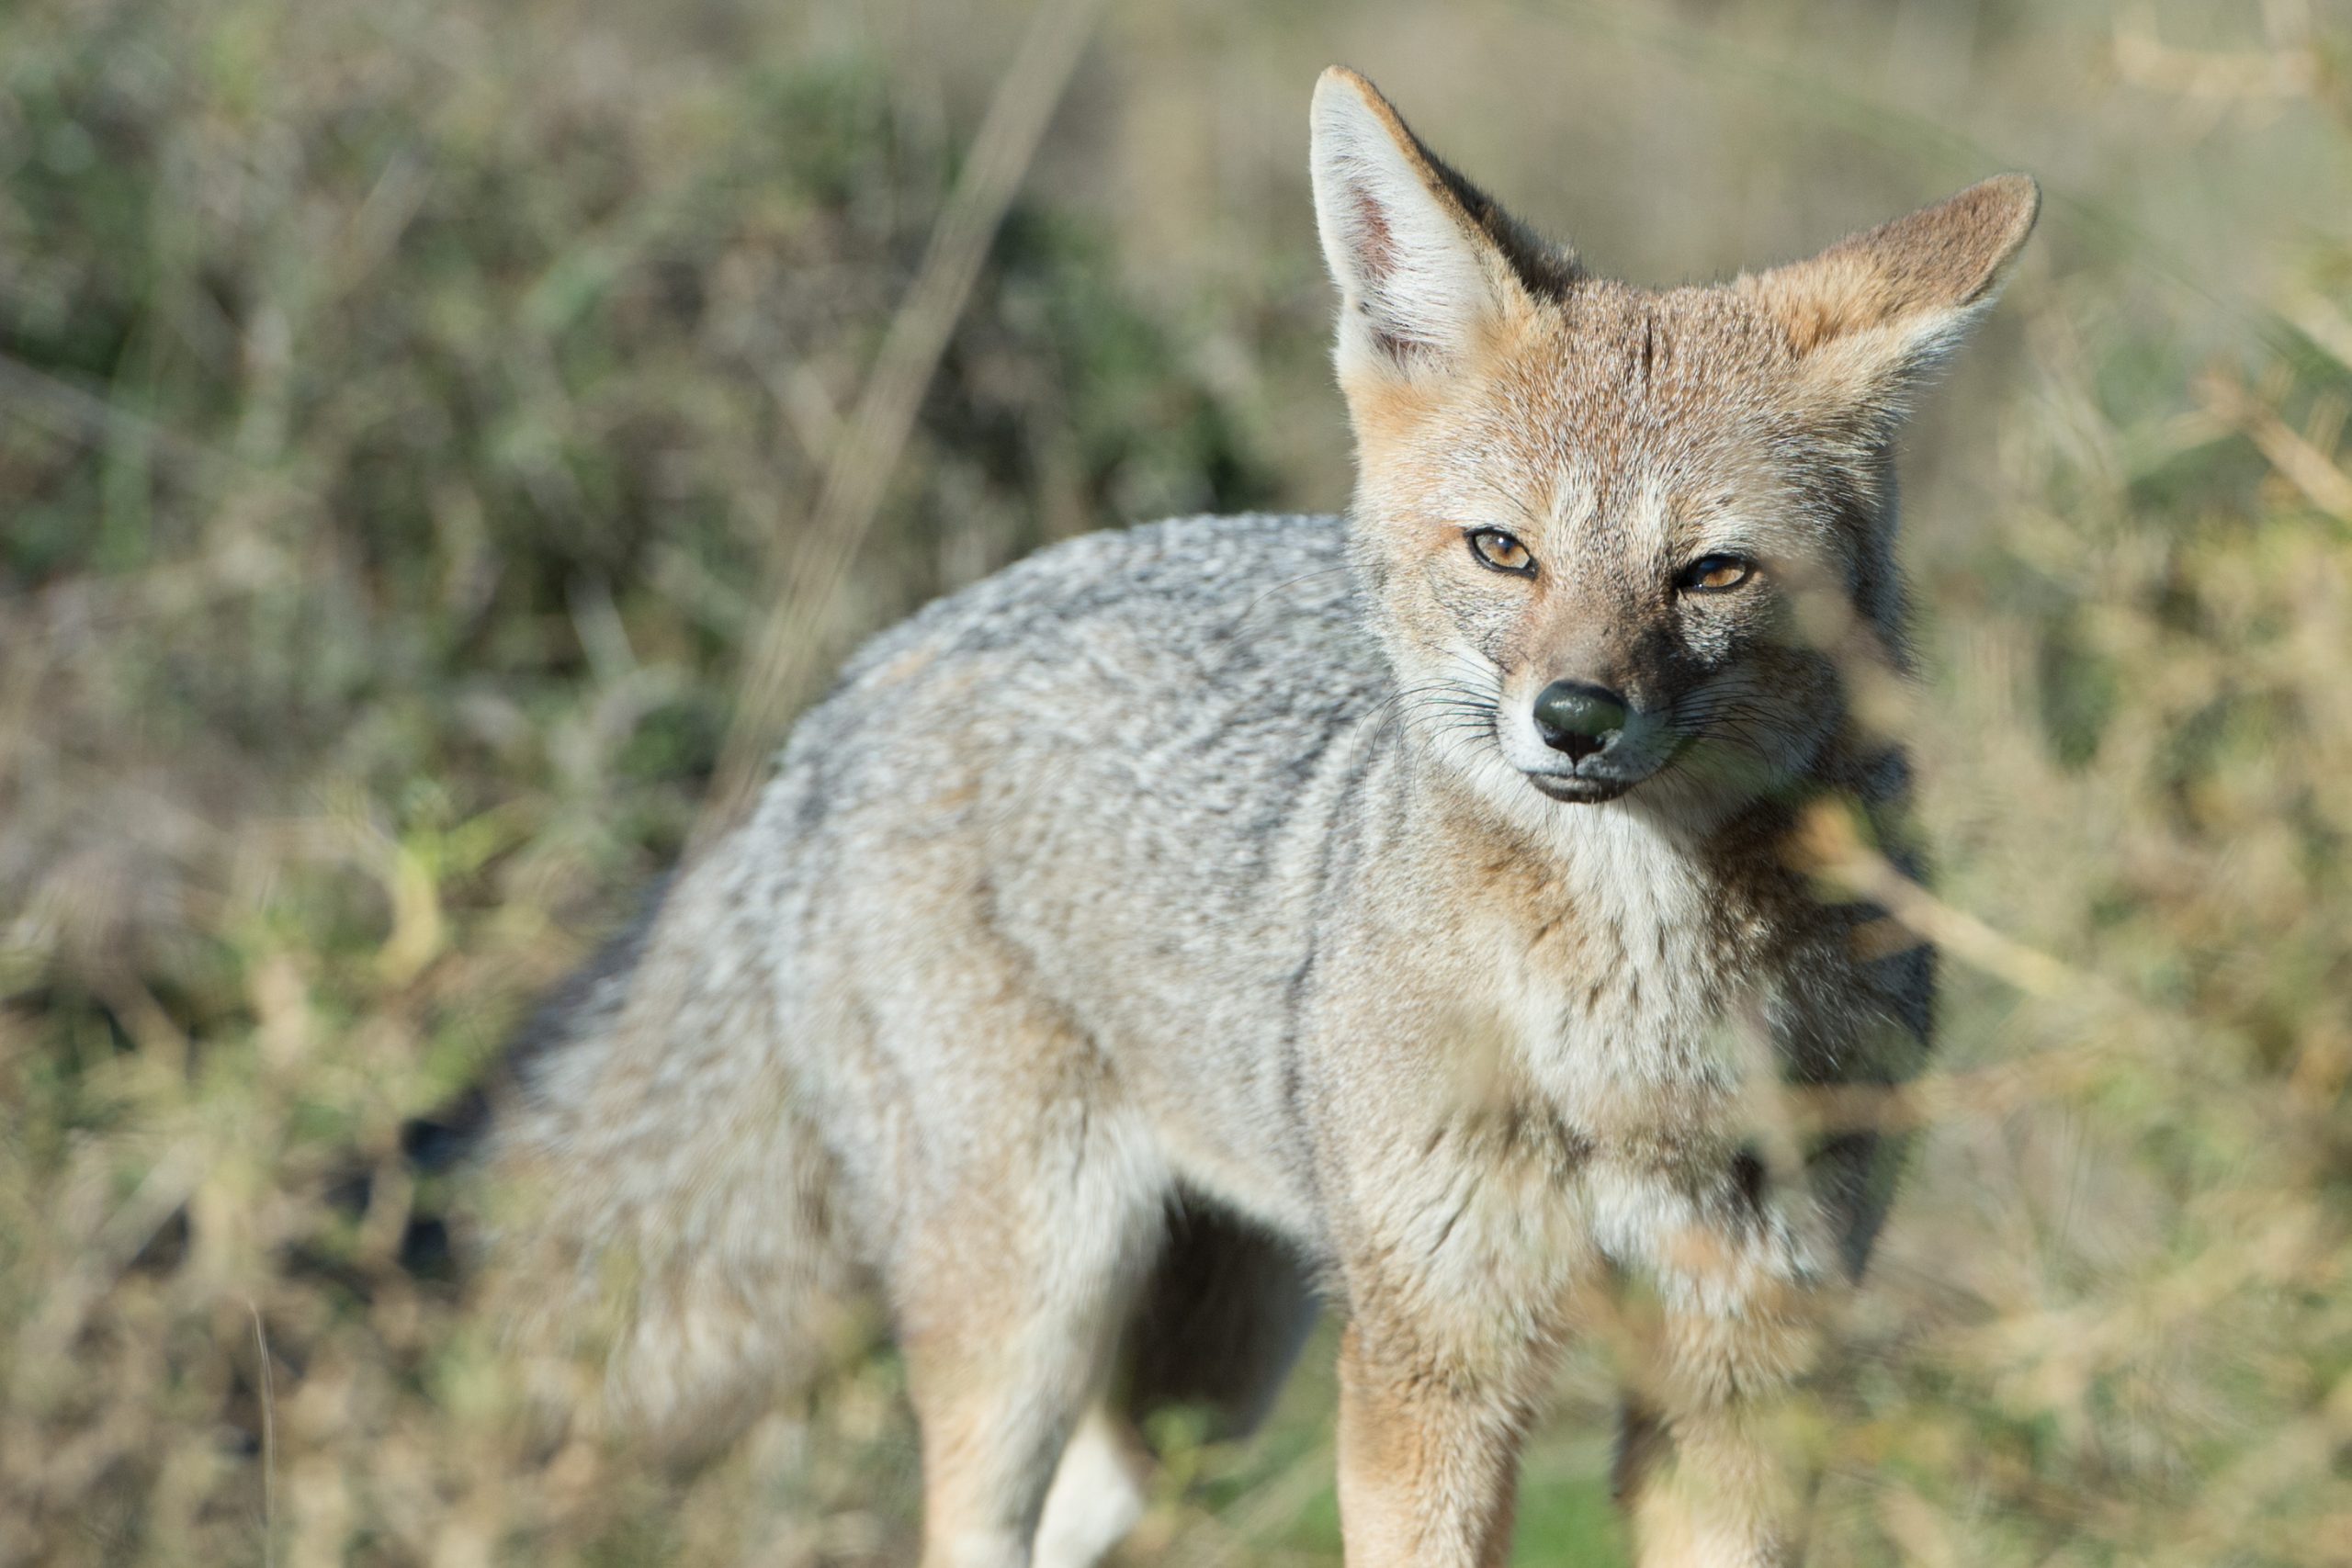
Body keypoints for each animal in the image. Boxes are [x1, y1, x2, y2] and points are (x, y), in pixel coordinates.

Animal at [477, 65, 2038, 1568]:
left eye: (1711, 573)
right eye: (1504, 550)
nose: (1575, 717)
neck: (1630, 1033)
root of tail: (870, 666)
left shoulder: (1746, 1371)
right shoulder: (1433, 1363)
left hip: (1197, 1394)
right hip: (1034, 1315)